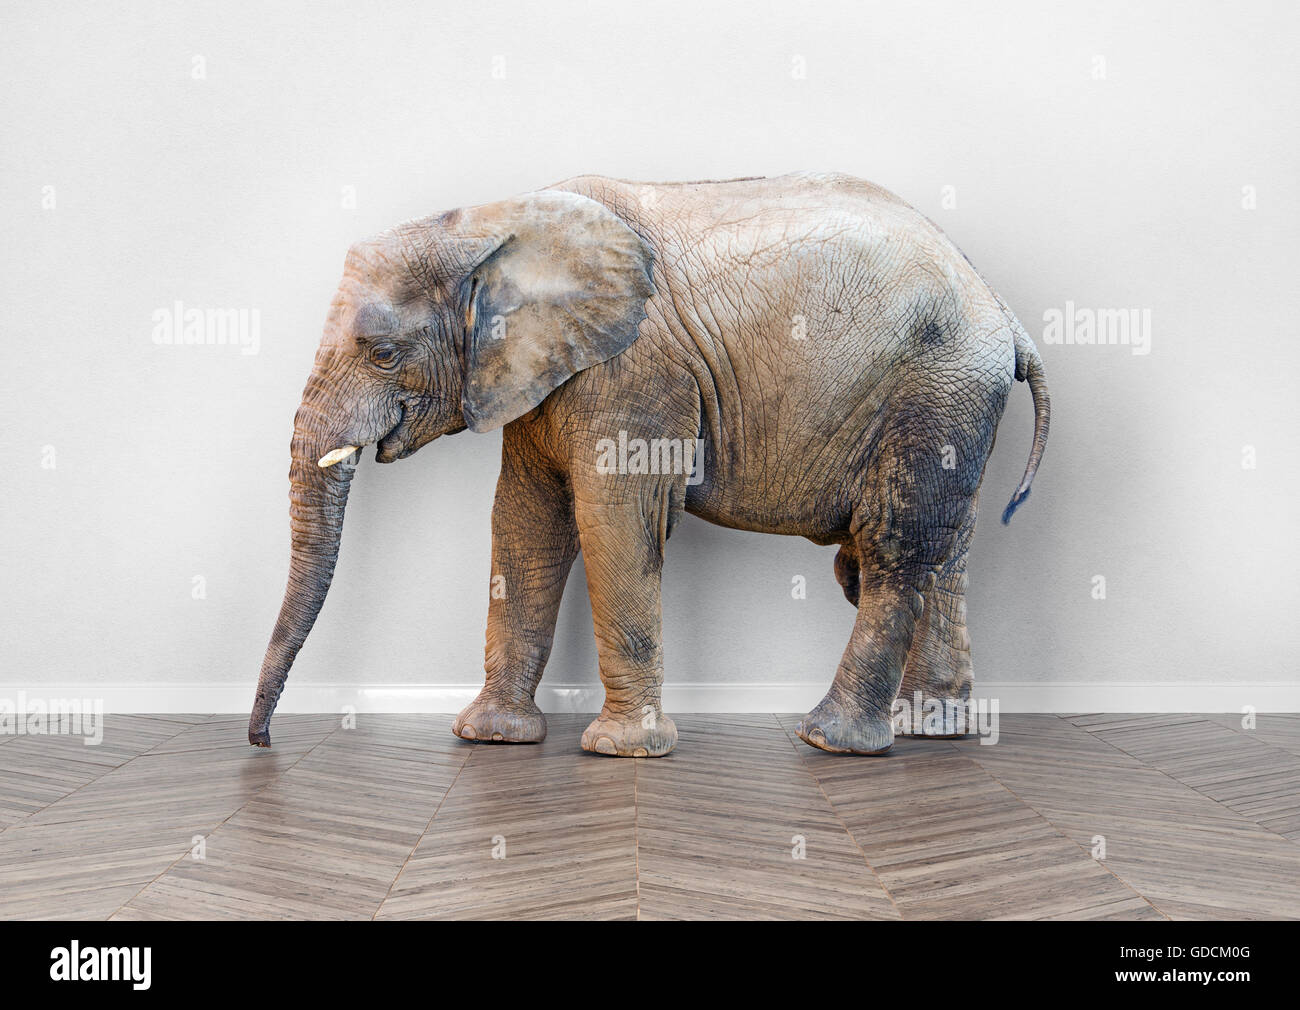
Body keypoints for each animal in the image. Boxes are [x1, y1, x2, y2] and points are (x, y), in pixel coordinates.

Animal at [249, 171, 1049, 758]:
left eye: (382, 353)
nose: (260, 744)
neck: (494, 219)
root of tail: (1003, 310)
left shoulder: (634, 373)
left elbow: (613, 520)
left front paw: (621, 752)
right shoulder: (543, 378)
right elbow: (524, 522)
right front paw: (492, 739)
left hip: (934, 388)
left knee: (894, 547)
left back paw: (832, 742)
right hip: (953, 404)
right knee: (945, 549)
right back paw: (932, 730)